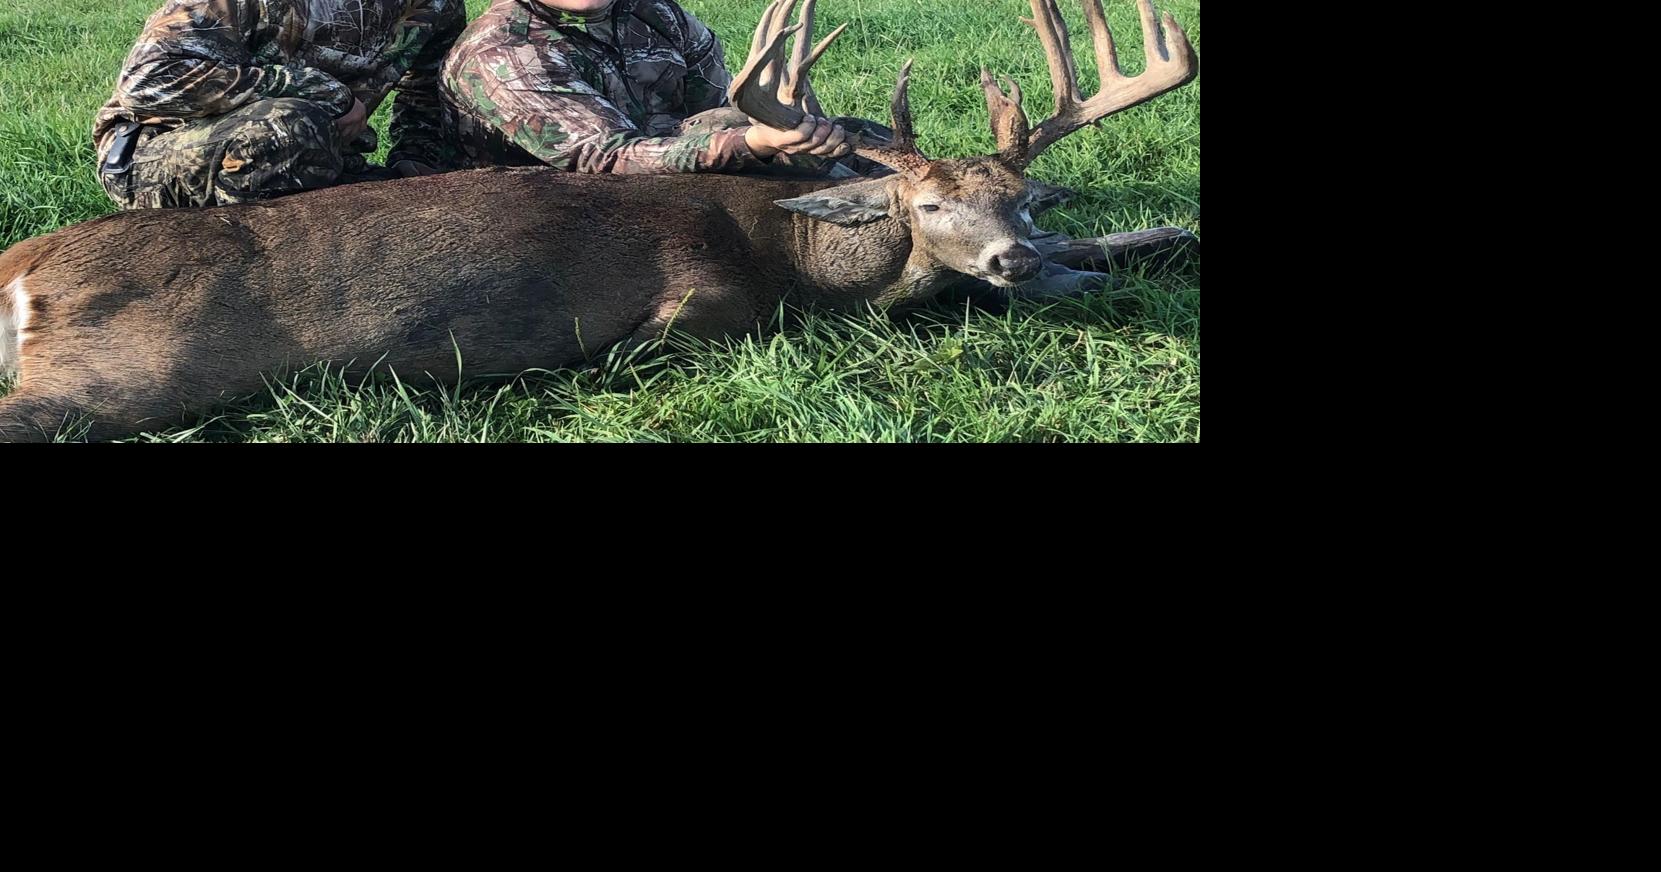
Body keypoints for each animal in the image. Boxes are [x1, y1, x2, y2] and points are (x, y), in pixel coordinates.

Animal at [0, 0, 1197, 442]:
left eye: (1019, 197)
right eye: (928, 202)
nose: (1011, 253)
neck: (797, 253)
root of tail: (24, 268)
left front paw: (1128, 252)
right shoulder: (698, 306)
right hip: (125, 374)